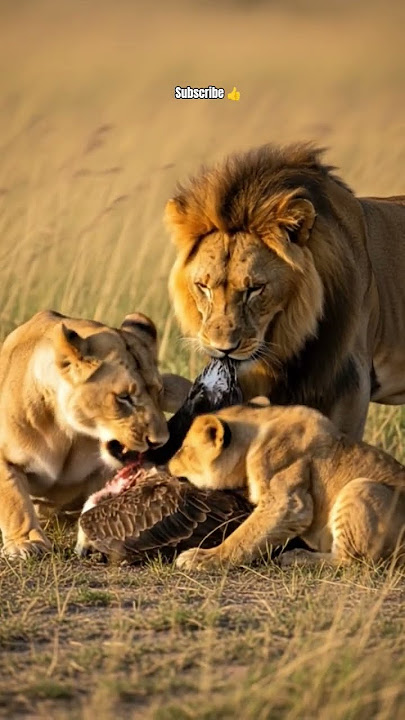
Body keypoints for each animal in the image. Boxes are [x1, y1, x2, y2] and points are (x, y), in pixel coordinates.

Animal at [0, 310, 190, 559]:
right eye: (123, 397)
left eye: (158, 392)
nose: (160, 441)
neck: (66, 431)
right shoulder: (5, 460)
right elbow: (15, 502)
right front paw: (26, 542)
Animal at [169, 401, 405, 570]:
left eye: (183, 448)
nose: (168, 465)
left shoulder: (287, 503)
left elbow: (244, 535)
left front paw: (203, 558)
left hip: (361, 486)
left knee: (351, 561)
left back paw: (297, 557)